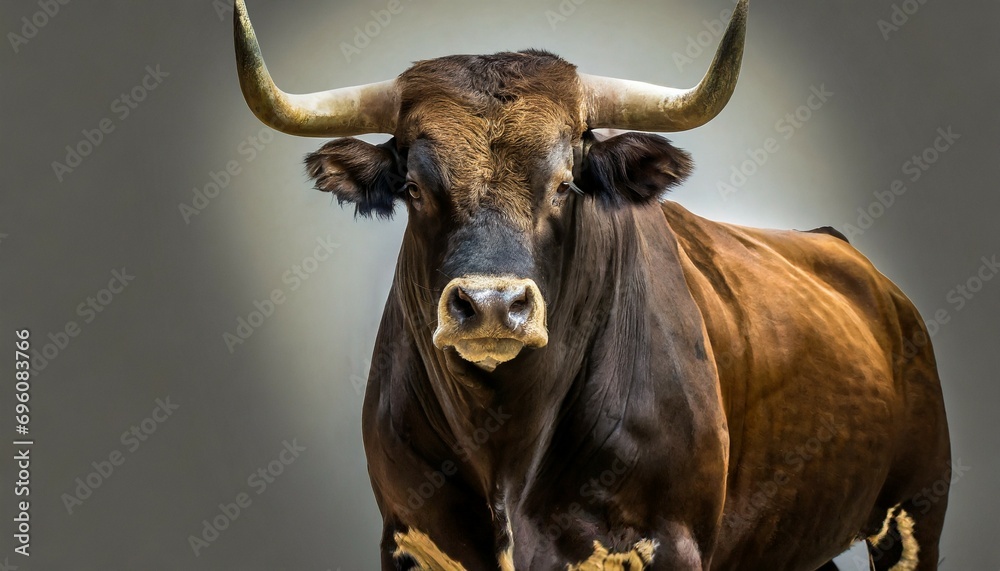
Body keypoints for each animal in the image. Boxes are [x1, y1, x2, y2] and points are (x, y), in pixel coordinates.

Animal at [233, 1, 950, 569]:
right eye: (413, 185)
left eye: (565, 182)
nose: (490, 306)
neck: (506, 445)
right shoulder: (407, 541)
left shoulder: (672, 543)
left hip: (918, 510)